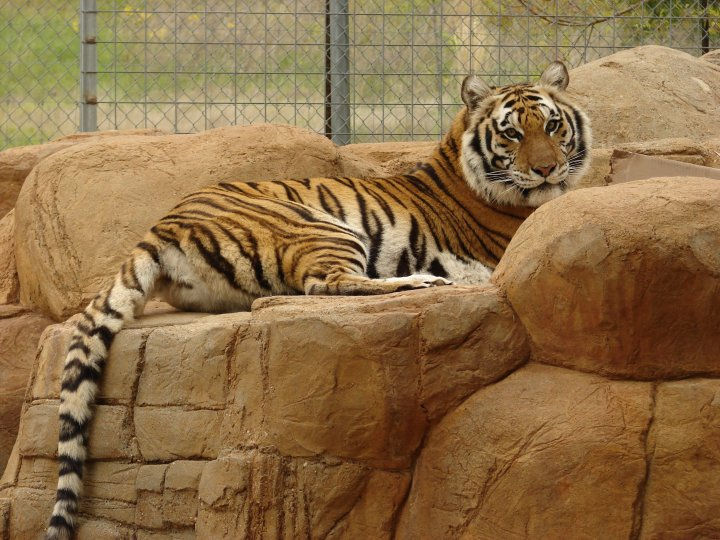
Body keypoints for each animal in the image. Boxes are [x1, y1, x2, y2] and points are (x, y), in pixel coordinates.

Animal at [46, 61, 590, 539]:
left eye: (552, 125)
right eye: (512, 134)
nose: (547, 170)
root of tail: (161, 224)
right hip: (322, 227)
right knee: (328, 284)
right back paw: (426, 283)